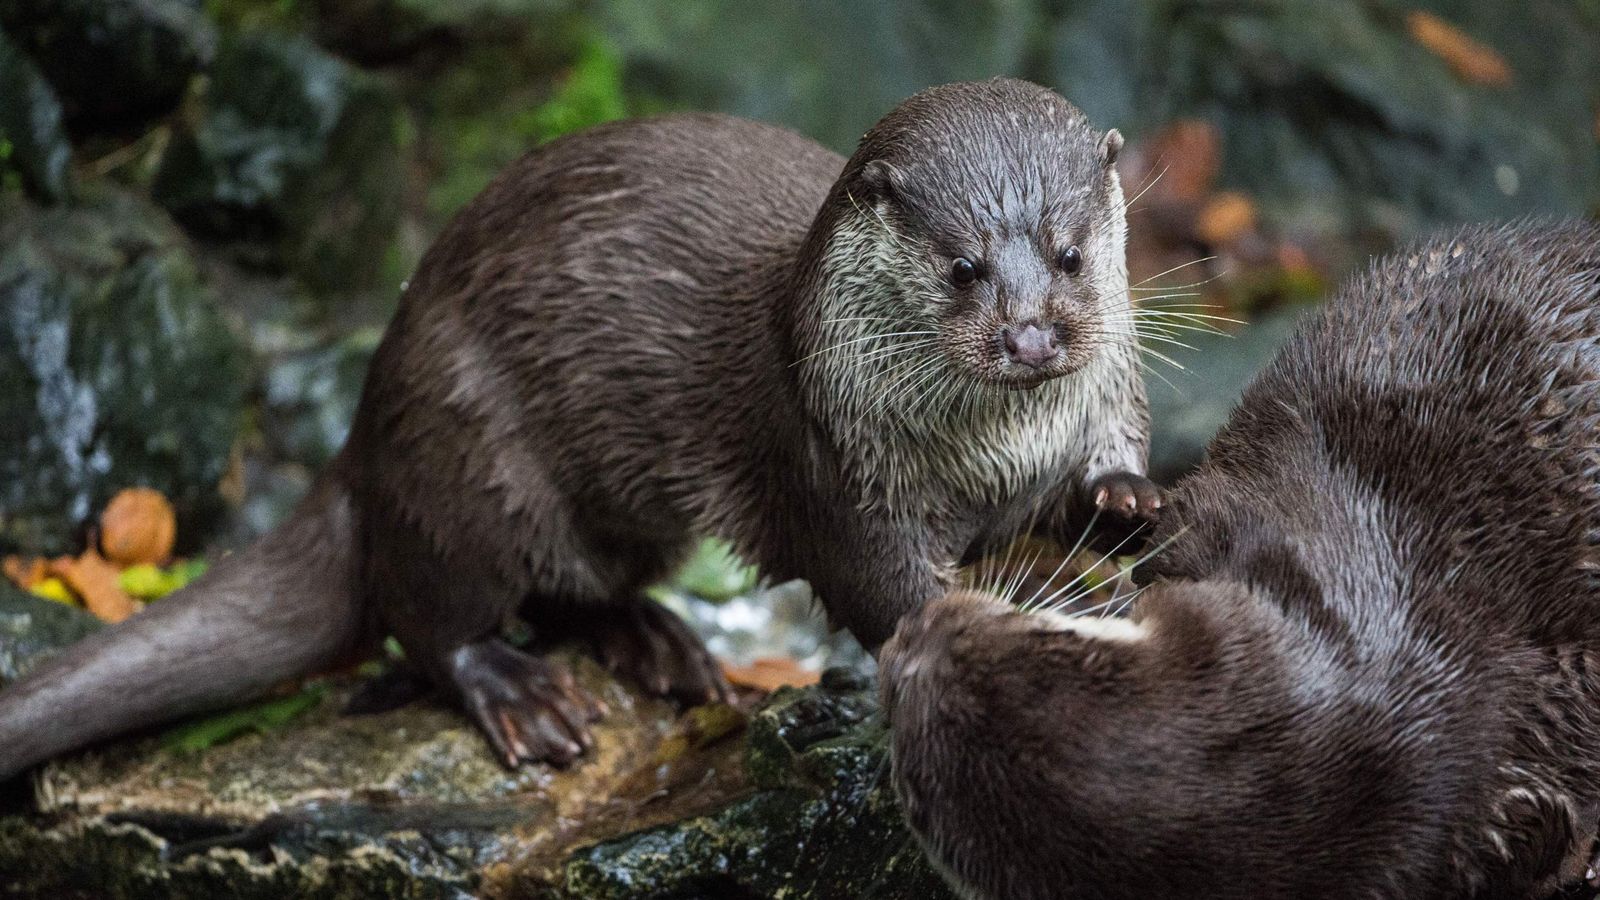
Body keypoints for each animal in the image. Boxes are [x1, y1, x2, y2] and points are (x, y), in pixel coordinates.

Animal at [0, 78, 1154, 776]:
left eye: (1068, 253)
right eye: (962, 267)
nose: (1031, 337)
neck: (990, 455)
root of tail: (364, 431)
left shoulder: (1099, 404)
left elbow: (1099, 477)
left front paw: (1123, 504)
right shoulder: (831, 467)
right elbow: (889, 592)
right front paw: (1020, 633)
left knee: (571, 589)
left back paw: (656, 643)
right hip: (467, 455)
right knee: (426, 609)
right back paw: (522, 694)